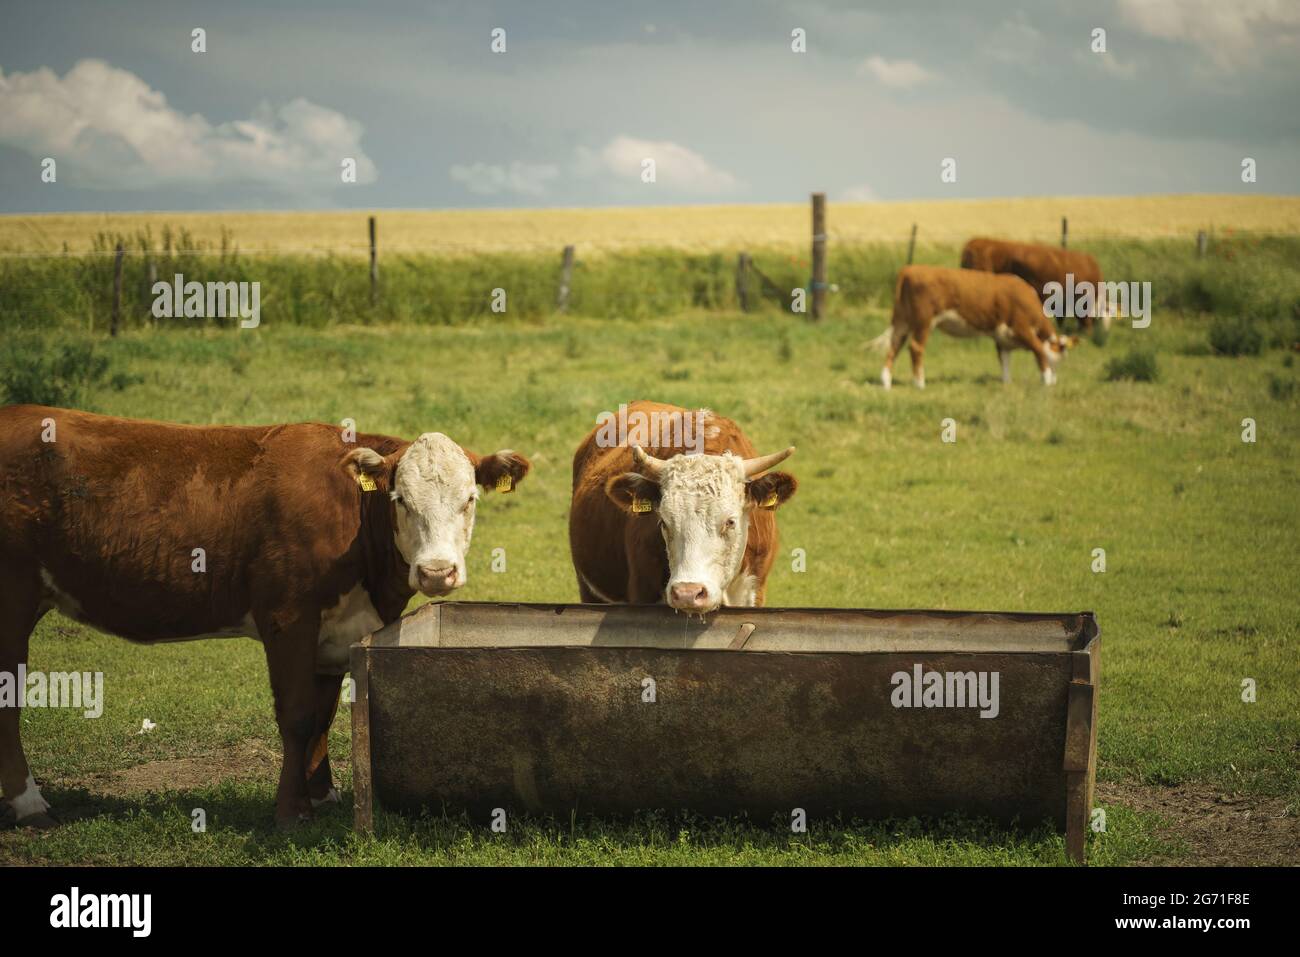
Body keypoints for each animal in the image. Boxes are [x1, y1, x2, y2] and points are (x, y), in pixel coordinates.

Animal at [0, 405, 529, 829]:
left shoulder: (335, 632)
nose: (437, 571)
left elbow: (322, 715)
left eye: (469, 499)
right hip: (13, 600)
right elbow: (296, 715)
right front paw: (292, 811)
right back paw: (30, 805)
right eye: (400, 499)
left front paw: (324, 795)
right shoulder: (288, 616)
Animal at [868, 265, 1078, 388]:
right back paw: (919, 383)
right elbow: (1039, 352)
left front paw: (1007, 383)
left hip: (902, 320)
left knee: (894, 346)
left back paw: (886, 381)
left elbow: (1005, 360)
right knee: (915, 348)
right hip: (923, 322)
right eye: (1059, 359)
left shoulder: (1002, 338)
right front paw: (1046, 381)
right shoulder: (1022, 329)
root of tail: (911, 269)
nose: (1056, 381)